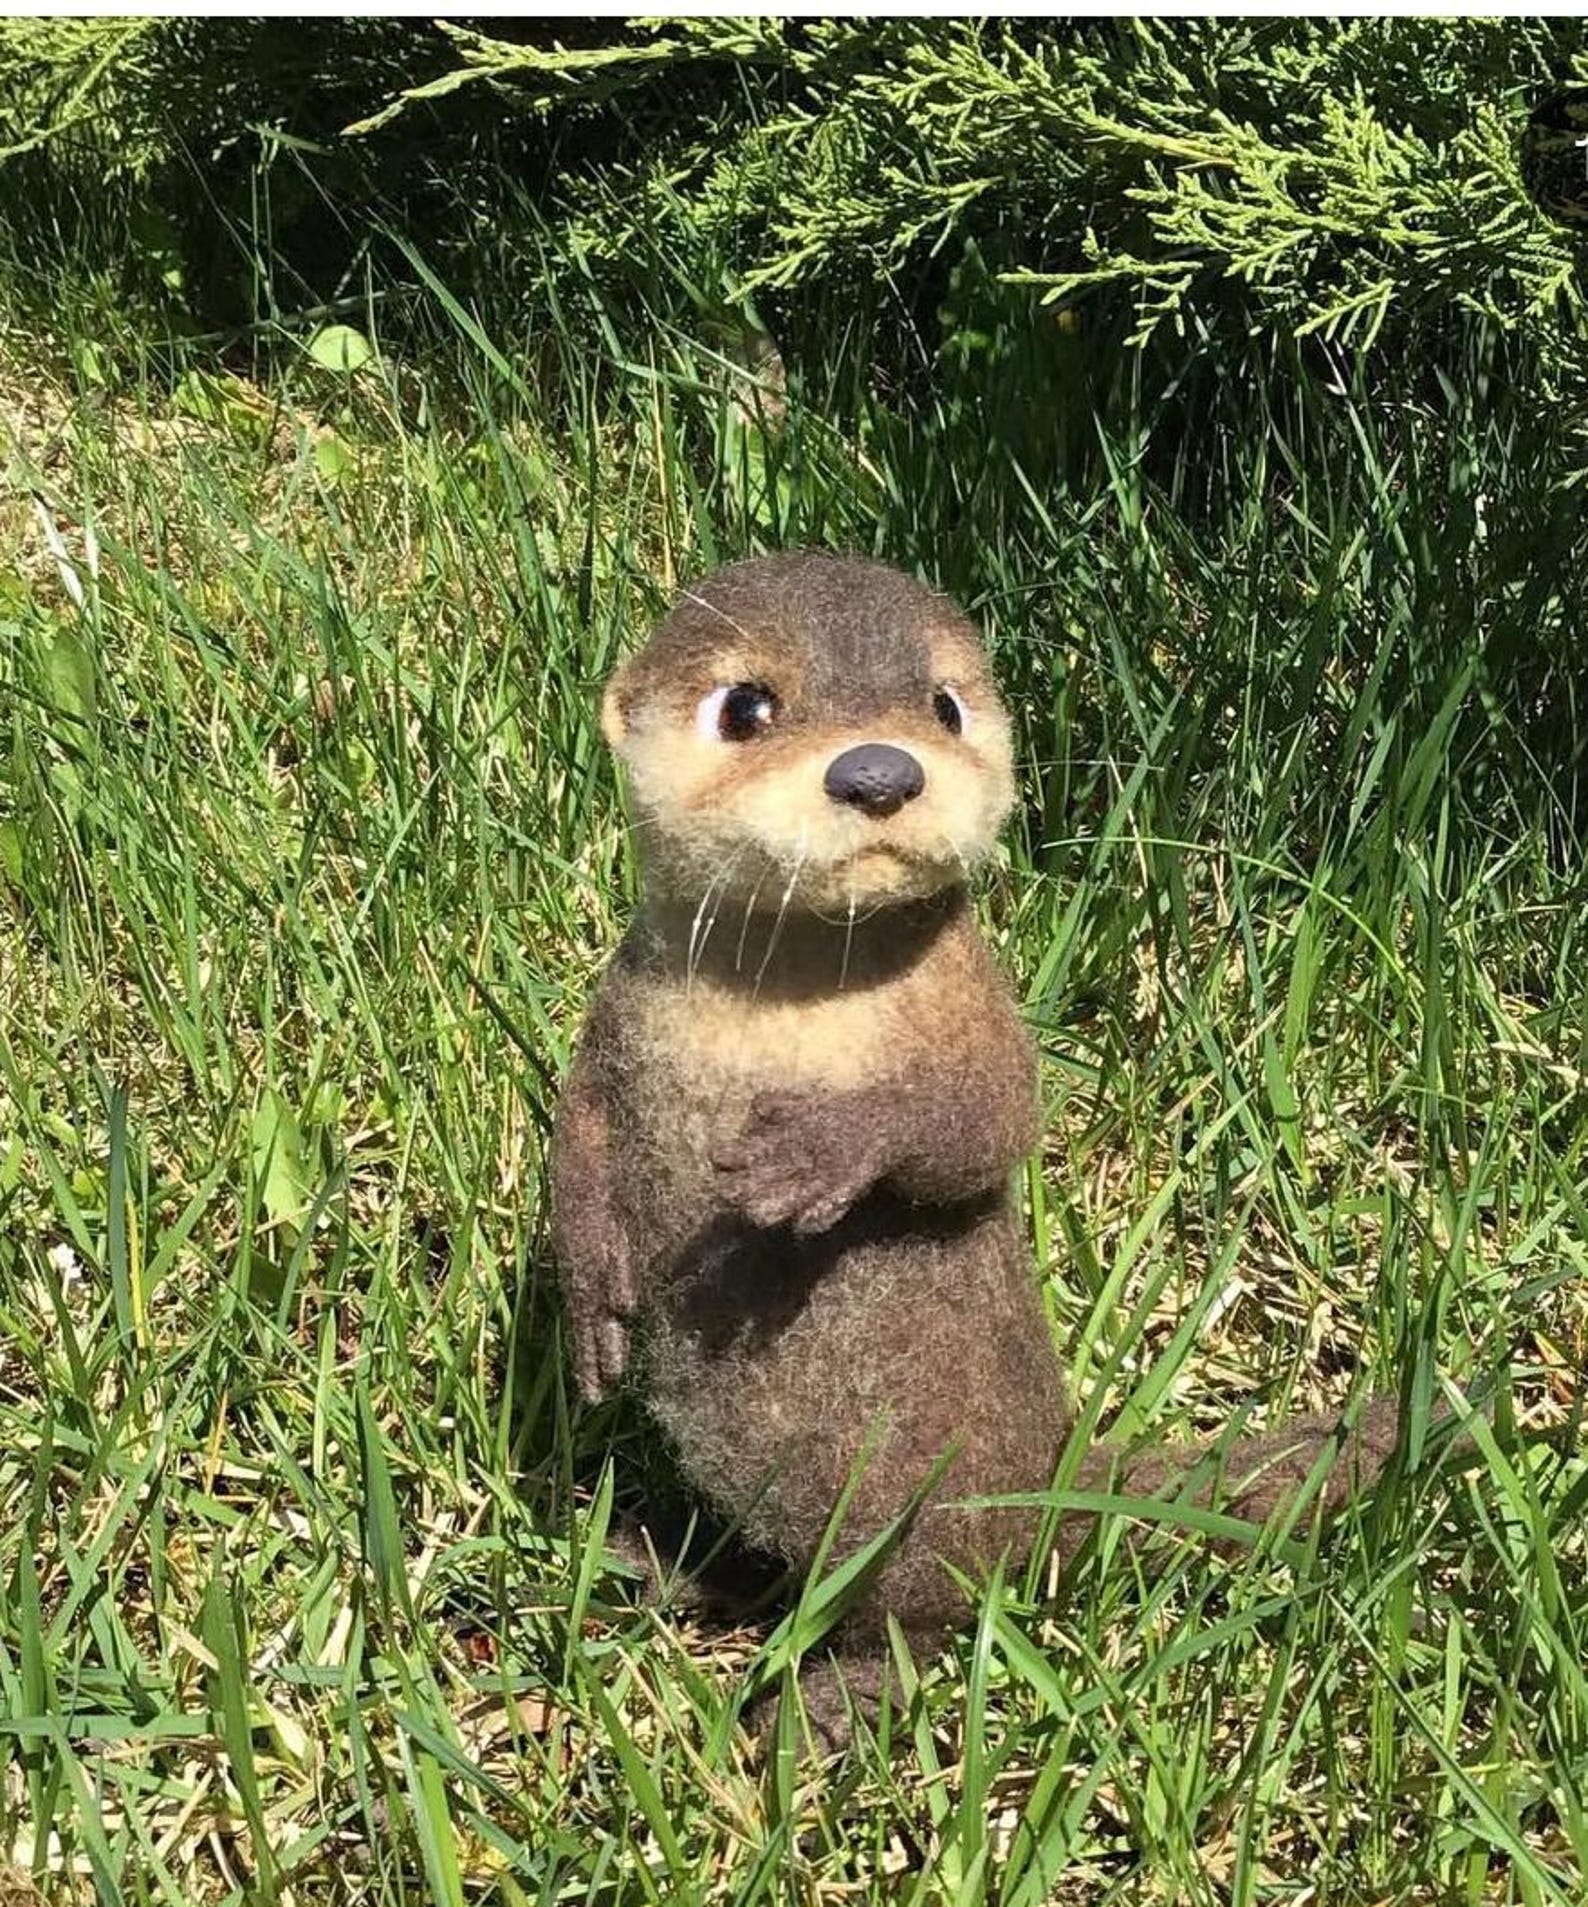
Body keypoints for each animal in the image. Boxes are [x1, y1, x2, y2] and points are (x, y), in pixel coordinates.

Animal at [551, 551, 1402, 1750]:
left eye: (944, 705)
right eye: (746, 706)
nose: (877, 770)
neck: (783, 1008)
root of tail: (1056, 1477)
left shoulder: (978, 1013)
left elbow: (988, 1121)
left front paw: (815, 1155)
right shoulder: (615, 1014)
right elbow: (576, 1136)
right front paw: (589, 1296)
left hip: (923, 1511)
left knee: (926, 1615)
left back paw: (833, 1700)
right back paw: (663, 1562)